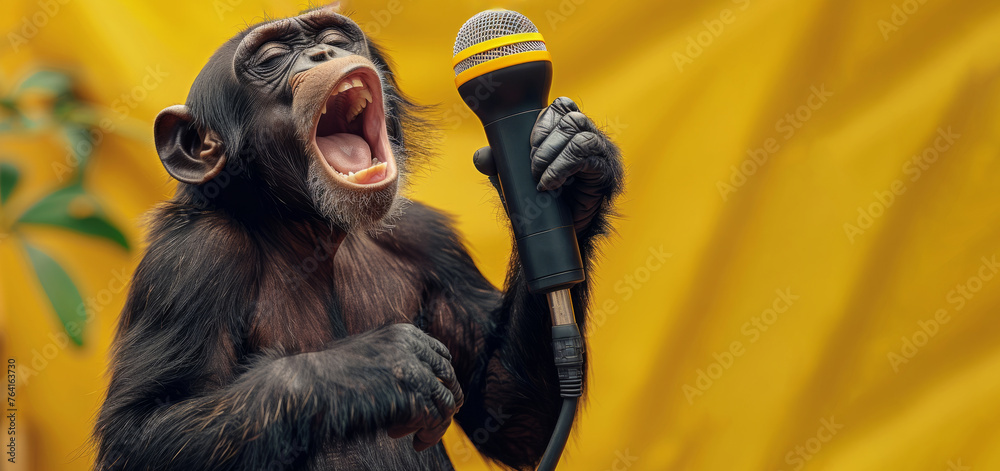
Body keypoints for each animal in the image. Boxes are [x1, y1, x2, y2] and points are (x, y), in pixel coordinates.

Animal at [93, 6, 623, 471]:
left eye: (334, 37)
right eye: (270, 58)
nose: (322, 54)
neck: (310, 228)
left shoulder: (428, 239)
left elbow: (509, 414)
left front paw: (574, 160)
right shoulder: (191, 259)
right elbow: (140, 429)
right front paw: (374, 366)